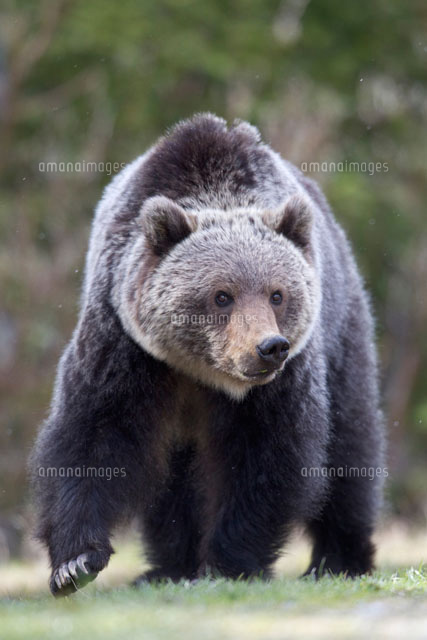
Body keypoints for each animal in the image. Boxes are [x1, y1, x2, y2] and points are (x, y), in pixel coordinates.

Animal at [29, 113, 385, 596]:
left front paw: (229, 562)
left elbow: (266, 457)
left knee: (350, 446)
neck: (200, 371)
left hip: (342, 336)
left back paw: (339, 558)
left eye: (277, 294)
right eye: (222, 296)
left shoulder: (284, 380)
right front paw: (75, 563)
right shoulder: (124, 348)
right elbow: (93, 435)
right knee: (172, 485)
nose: (269, 347)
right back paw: (167, 566)